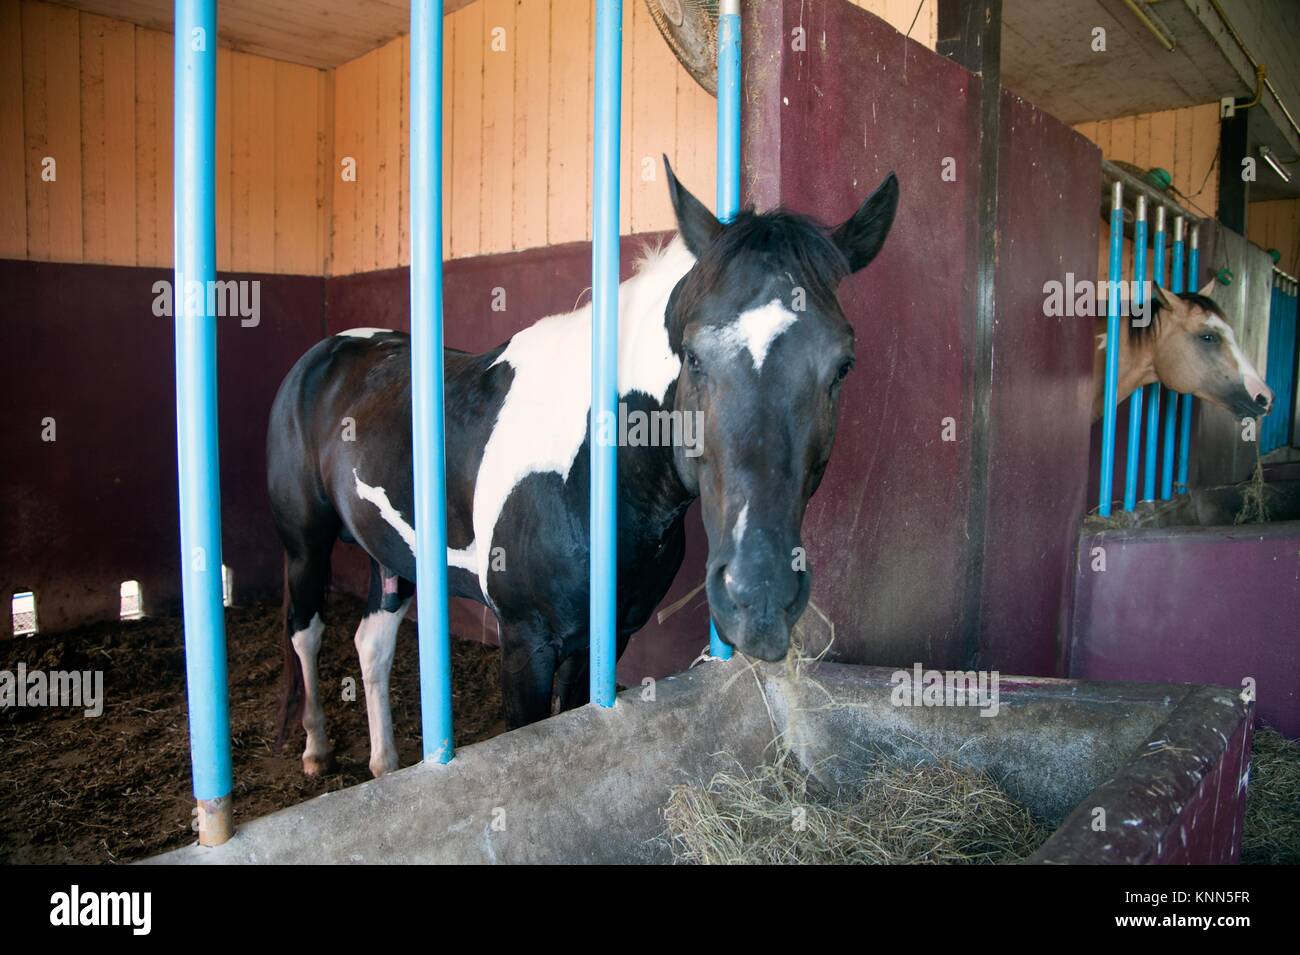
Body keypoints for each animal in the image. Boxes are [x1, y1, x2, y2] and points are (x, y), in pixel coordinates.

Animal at [267, 159, 899, 778]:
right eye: (693, 355)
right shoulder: (526, 641)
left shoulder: (605, 635)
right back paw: (315, 750)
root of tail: (326, 352)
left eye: (843, 365)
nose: (759, 601)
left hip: (394, 558)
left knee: (371, 643)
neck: (595, 476)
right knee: (307, 633)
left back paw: (385, 763)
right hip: (305, 546)